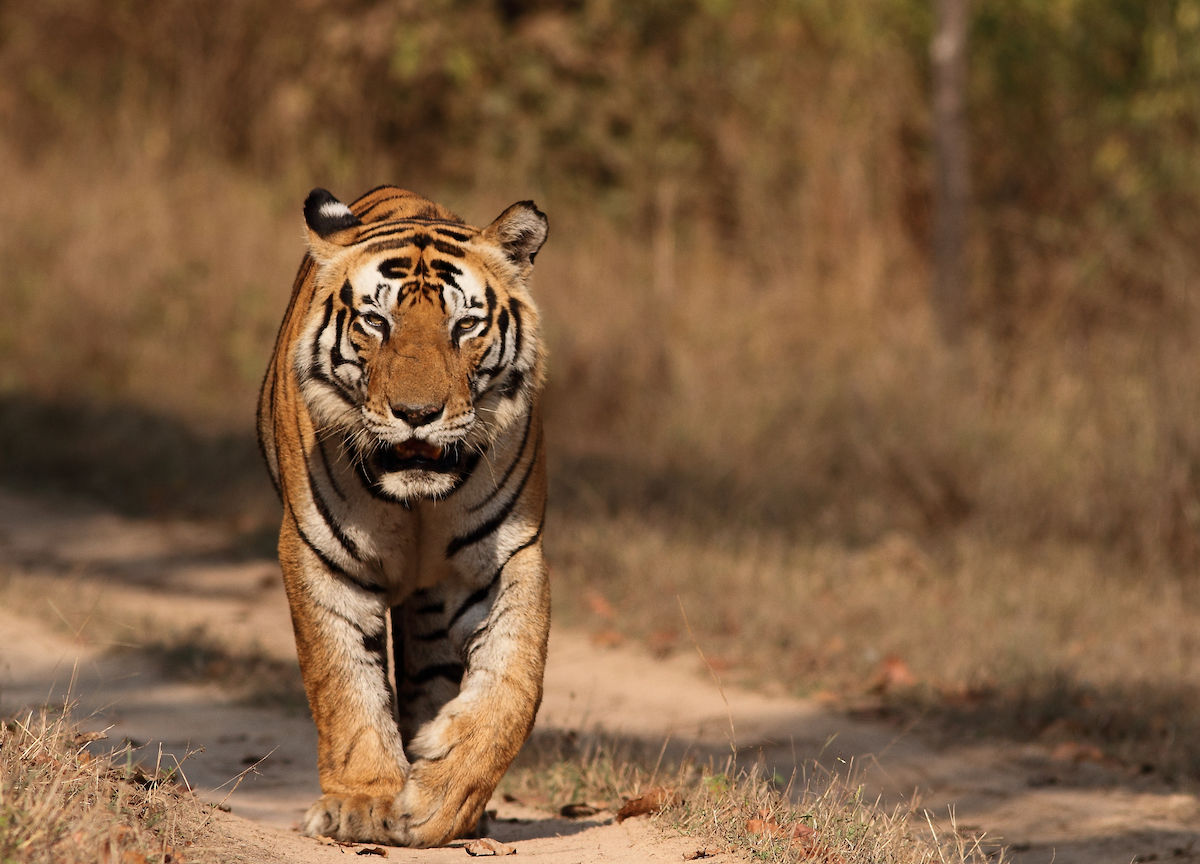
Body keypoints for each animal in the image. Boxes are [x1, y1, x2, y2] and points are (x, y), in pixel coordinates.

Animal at [256, 185, 550, 847]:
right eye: (376, 322)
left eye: (464, 325)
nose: (417, 414)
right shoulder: (321, 558)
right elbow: (345, 686)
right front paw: (364, 804)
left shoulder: (506, 557)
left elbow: (513, 683)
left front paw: (442, 798)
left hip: (433, 609)